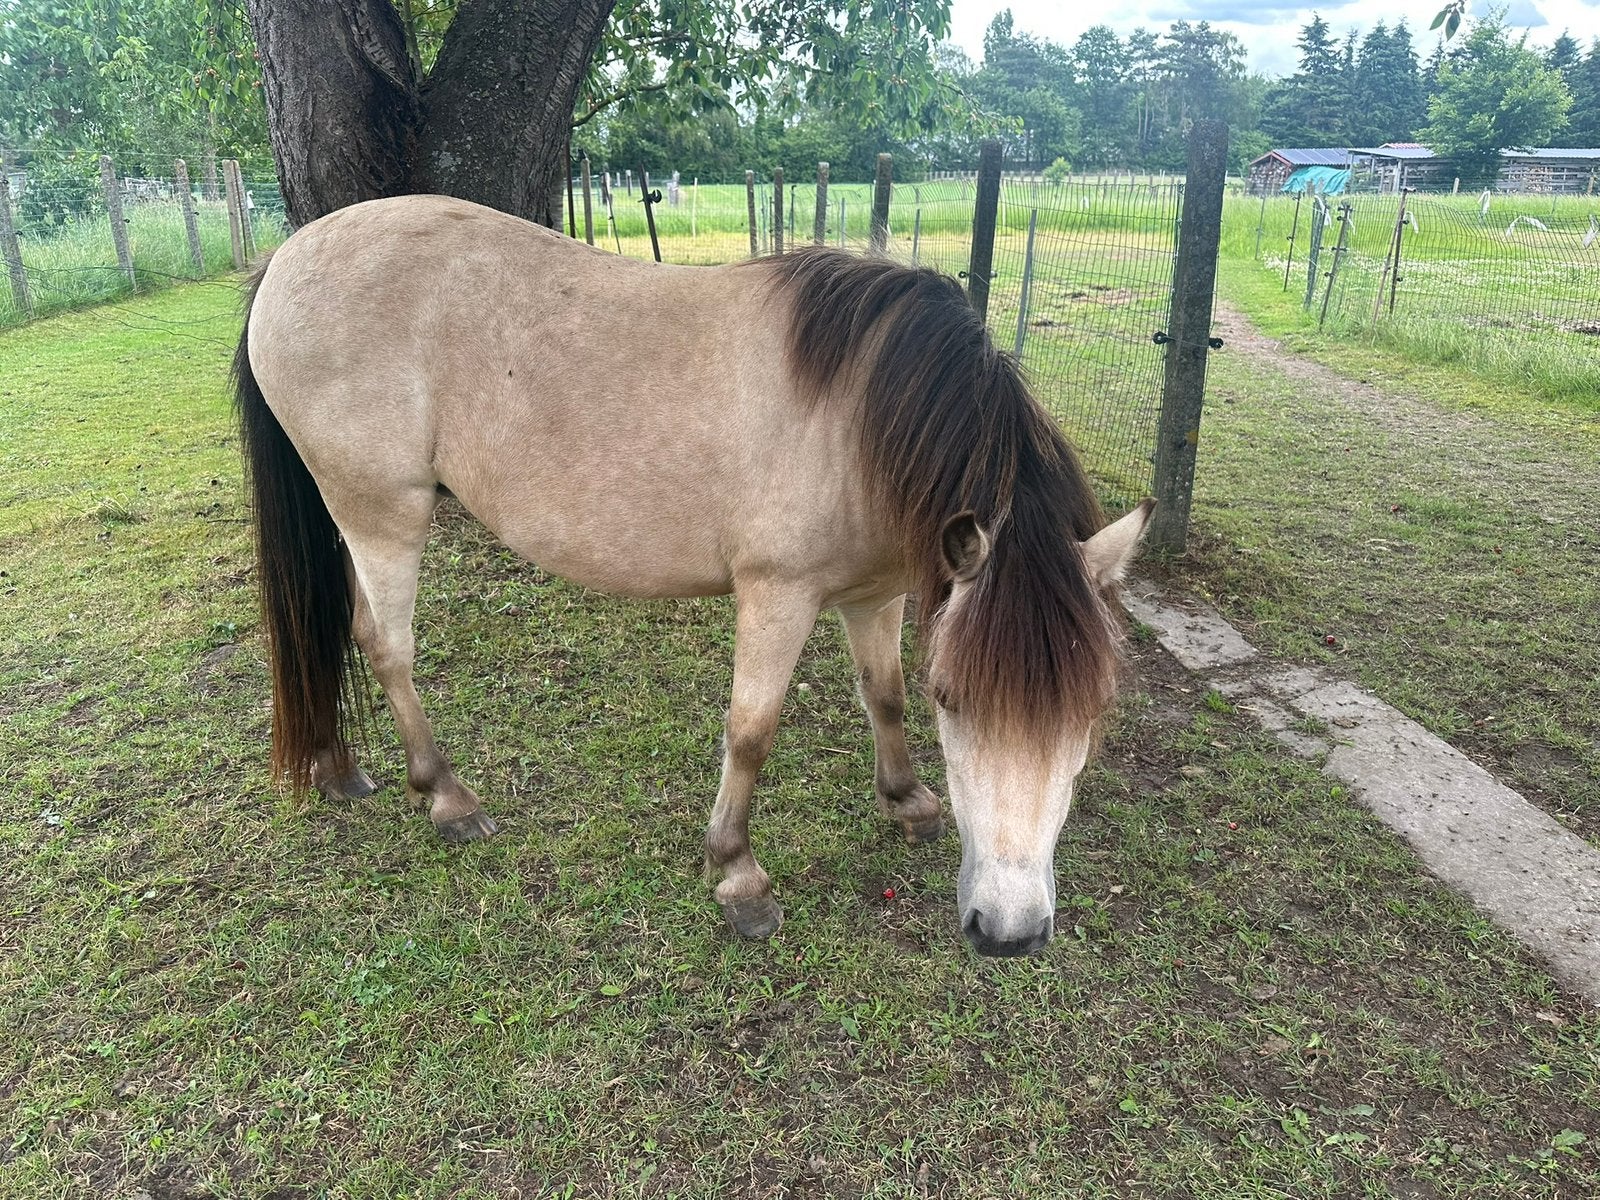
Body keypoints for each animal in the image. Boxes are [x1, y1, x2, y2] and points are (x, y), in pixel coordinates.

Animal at [234, 194, 1152, 957]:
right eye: (955, 699)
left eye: (1095, 709)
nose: (1009, 931)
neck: (861, 419)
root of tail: (285, 259)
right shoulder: (778, 595)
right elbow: (751, 731)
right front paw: (737, 873)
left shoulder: (878, 591)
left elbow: (882, 693)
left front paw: (908, 800)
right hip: (384, 514)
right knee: (386, 644)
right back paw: (446, 796)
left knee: (338, 628)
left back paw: (335, 763)